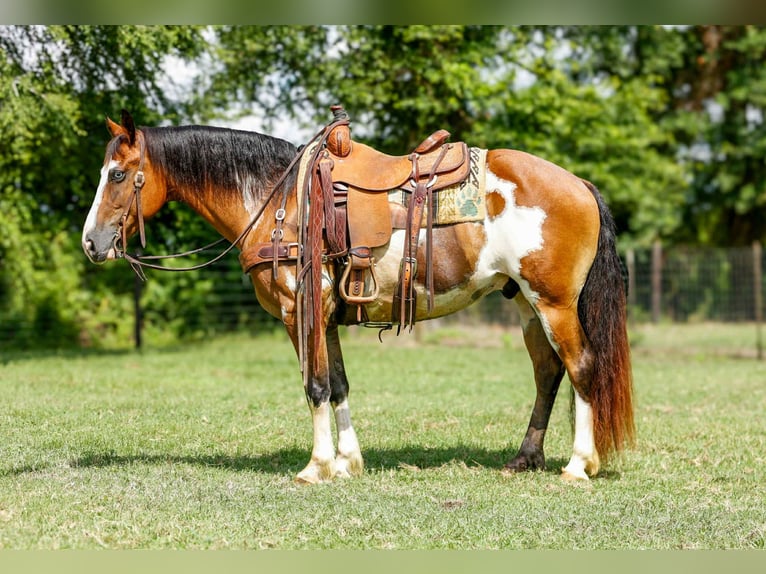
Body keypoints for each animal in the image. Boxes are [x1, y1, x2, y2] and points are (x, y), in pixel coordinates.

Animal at [81, 109, 634, 484]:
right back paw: (525, 458)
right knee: (548, 373)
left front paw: (316, 466)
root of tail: (579, 184)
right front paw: (348, 462)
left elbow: (316, 387)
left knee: (582, 367)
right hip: (524, 303)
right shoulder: (326, 316)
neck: (279, 202)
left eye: (116, 174)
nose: (91, 242)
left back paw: (578, 465)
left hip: (554, 304)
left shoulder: (299, 312)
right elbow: (340, 385)